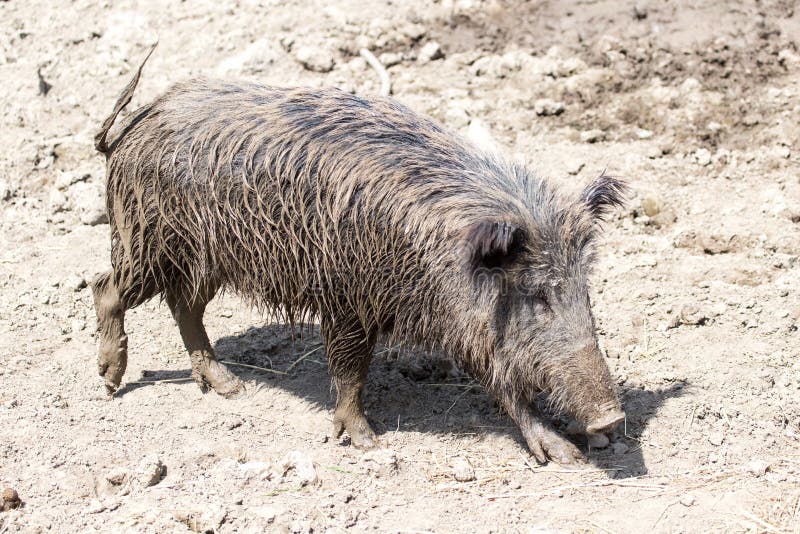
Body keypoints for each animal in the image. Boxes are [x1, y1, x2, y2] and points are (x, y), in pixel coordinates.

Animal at [91, 46, 626, 464]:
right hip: (149, 241)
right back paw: (111, 382)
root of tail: (133, 126)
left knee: (184, 307)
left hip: (205, 259)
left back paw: (230, 387)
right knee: (107, 287)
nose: (612, 417)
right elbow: (350, 371)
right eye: (536, 297)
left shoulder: (462, 327)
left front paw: (566, 455)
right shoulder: (349, 301)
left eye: (585, 293)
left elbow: (502, 382)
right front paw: (369, 443)